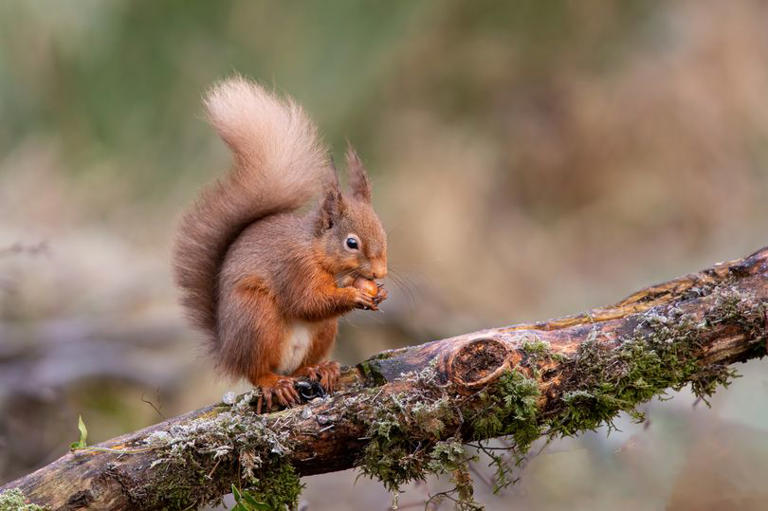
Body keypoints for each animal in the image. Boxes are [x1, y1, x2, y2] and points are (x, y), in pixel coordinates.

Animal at [173, 76, 388, 412]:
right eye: (351, 243)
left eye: (383, 232)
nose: (380, 273)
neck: (316, 251)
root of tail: (227, 351)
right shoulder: (293, 267)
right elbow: (307, 301)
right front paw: (354, 295)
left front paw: (378, 292)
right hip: (256, 318)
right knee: (258, 371)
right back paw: (274, 383)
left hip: (323, 332)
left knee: (300, 366)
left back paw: (320, 368)